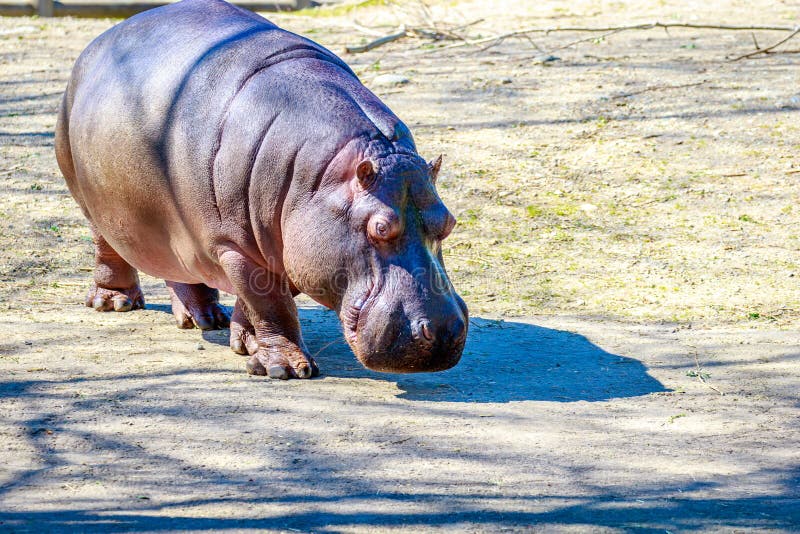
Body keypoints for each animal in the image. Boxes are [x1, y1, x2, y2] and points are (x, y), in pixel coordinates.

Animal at [55, 0, 468, 379]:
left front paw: (246, 340)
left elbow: (260, 297)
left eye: (449, 222)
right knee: (106, 245)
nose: (444, 332)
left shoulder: (289, 244)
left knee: (180, 264)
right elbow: (270, 302)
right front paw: (284, 368)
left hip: (174, 221)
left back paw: (204, 318)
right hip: (89, 198)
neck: (323, 176)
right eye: (379, 228)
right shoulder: (234, 243)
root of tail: (102, 39)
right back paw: (115, 303)